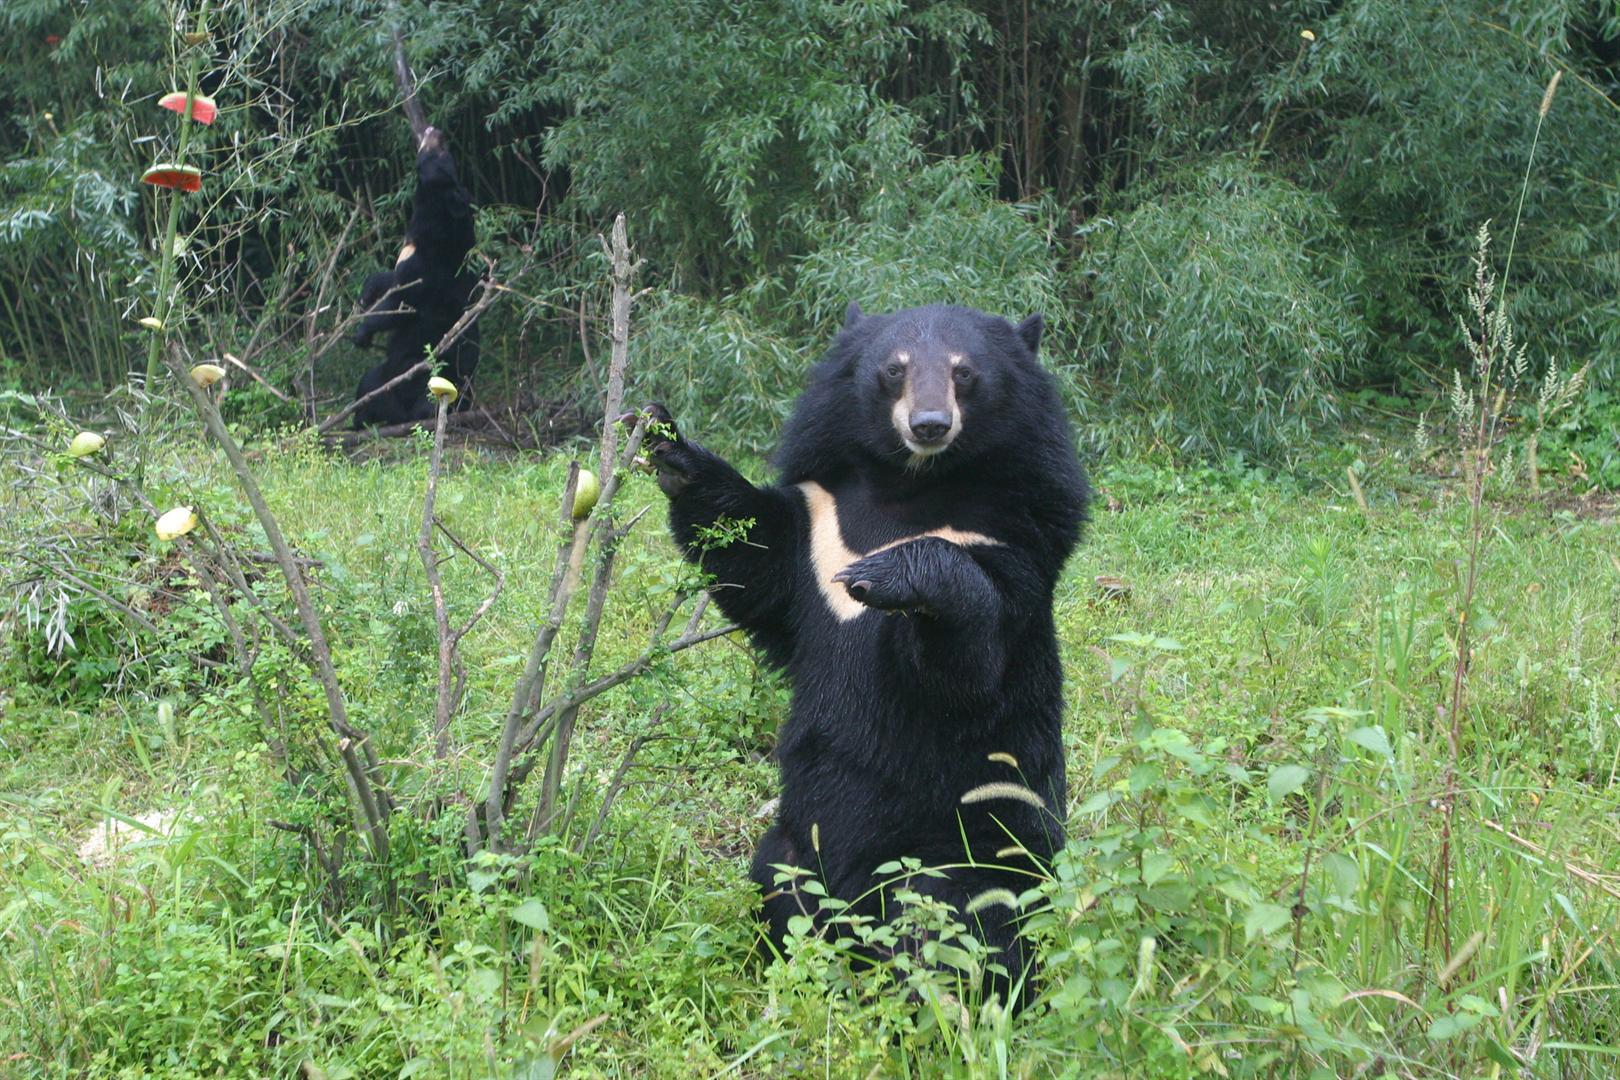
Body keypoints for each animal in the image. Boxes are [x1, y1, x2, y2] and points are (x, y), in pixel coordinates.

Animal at [350, 125, 480, 427]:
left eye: (439, 153)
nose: (436, 130)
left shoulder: (424, 270)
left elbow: (399, 303)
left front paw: (362, 331)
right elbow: (388, 279)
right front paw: (366, 293)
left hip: (406, 379)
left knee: (371, 384)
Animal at [638, 302, 1089, 1009]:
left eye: (964, 372)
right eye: (894, 369)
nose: (929, 425)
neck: (911, 487)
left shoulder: (1013, 534)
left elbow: (973, 659)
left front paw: (888, 575)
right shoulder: (817, 526)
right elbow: (752, 555)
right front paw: (666, 441)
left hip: (964, 845)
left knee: (964, 927)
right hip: (795, 846)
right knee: (783, 893)